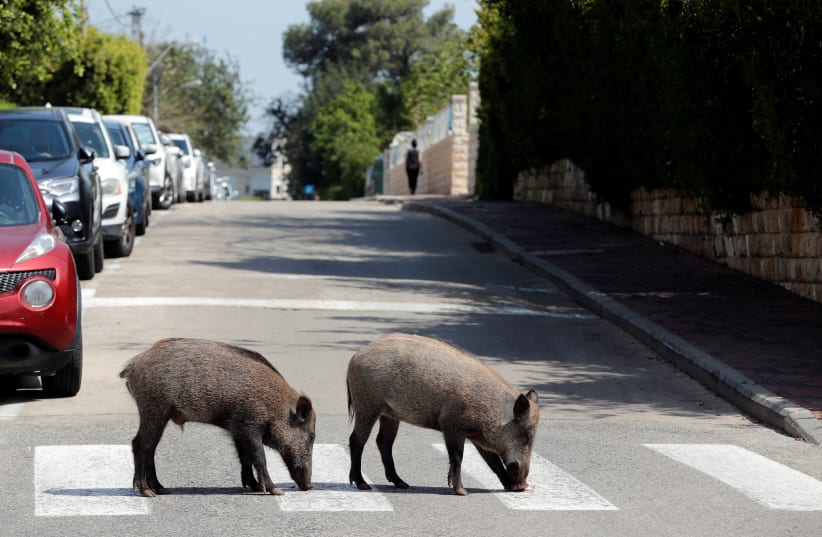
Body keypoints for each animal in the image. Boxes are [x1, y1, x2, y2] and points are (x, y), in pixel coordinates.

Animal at [119, 338, 316, 497]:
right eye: (312, 436)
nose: (308, 486)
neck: (277, 408)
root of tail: (131, 367)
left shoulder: (237, 429)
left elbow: (245, 458)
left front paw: (254, 486)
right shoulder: (249, 425)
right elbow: (259, 458)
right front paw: (276, 491)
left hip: (159, 414)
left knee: (150, 448)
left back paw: (162, 489)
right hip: (154, 409)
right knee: (140, 444)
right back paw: (147, 492)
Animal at [346, 333, 540, 496]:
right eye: (526, 436)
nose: (523, 486)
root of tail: (355, 357)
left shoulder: (478, 438)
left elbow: (494, 463)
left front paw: (511, 488)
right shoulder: (451, 425)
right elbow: (458, 457)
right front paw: (462, 492)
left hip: (389, 414)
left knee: (383, 442)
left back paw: (402, 484)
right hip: (367, 404)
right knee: (357, 439)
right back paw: (363, 485)